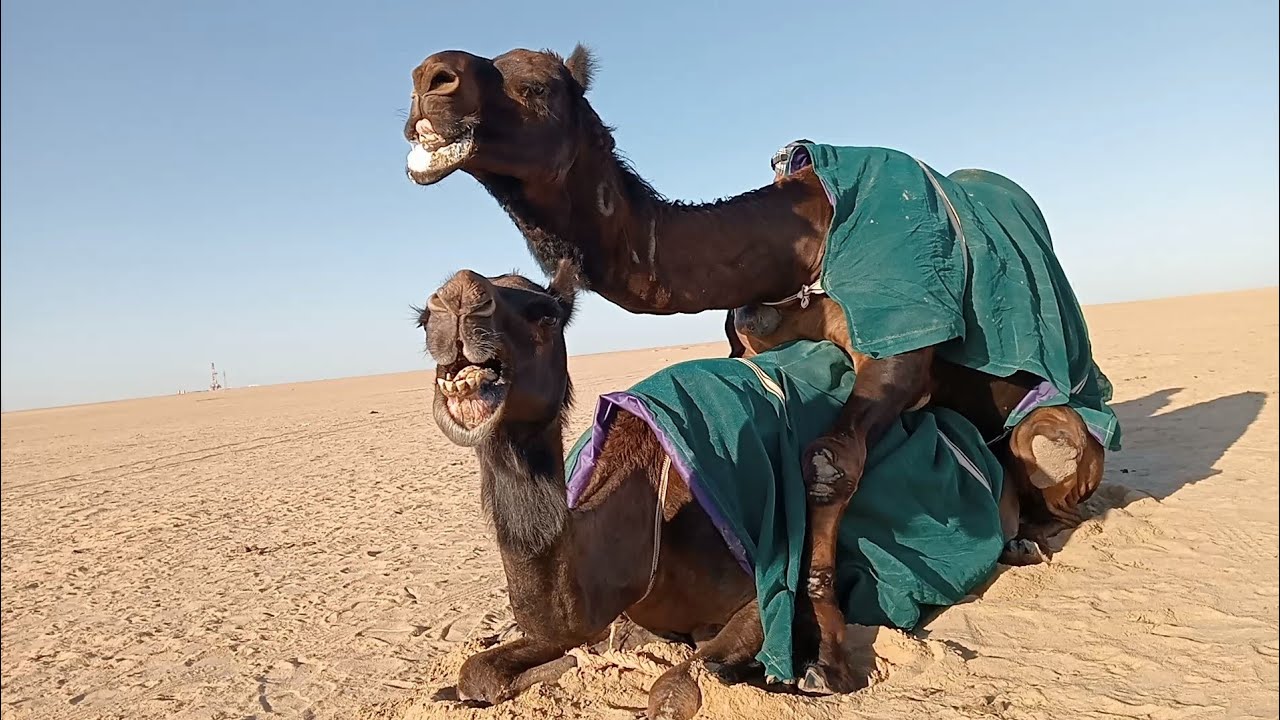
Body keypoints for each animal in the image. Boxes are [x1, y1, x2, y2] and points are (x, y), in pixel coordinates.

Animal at [418, 262, 1018, 719]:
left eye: (545, 313)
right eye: (423, 317)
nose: (457, 301)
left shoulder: (761, 588)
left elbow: (677, 686)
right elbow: (478, 670)